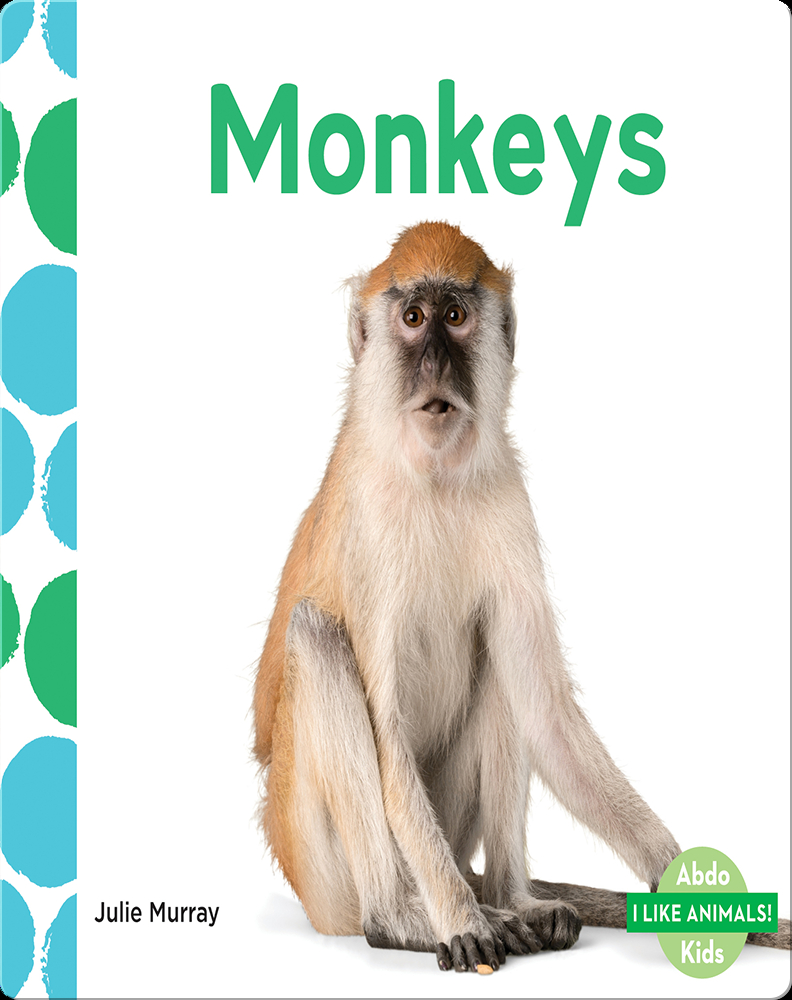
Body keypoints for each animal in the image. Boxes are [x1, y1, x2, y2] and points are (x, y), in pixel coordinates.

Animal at [252, 221, 790, 971]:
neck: (435, 476)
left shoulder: (507, 498)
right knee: (317, 635)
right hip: (320, 861)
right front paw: (458, 921)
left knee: (500, 665)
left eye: (455, 316)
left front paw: (680, 879)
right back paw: (405, 918)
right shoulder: (369, 527)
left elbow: (546, 712)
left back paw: (514, 900)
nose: (436, 366)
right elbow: (387, 740)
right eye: (412, 319)